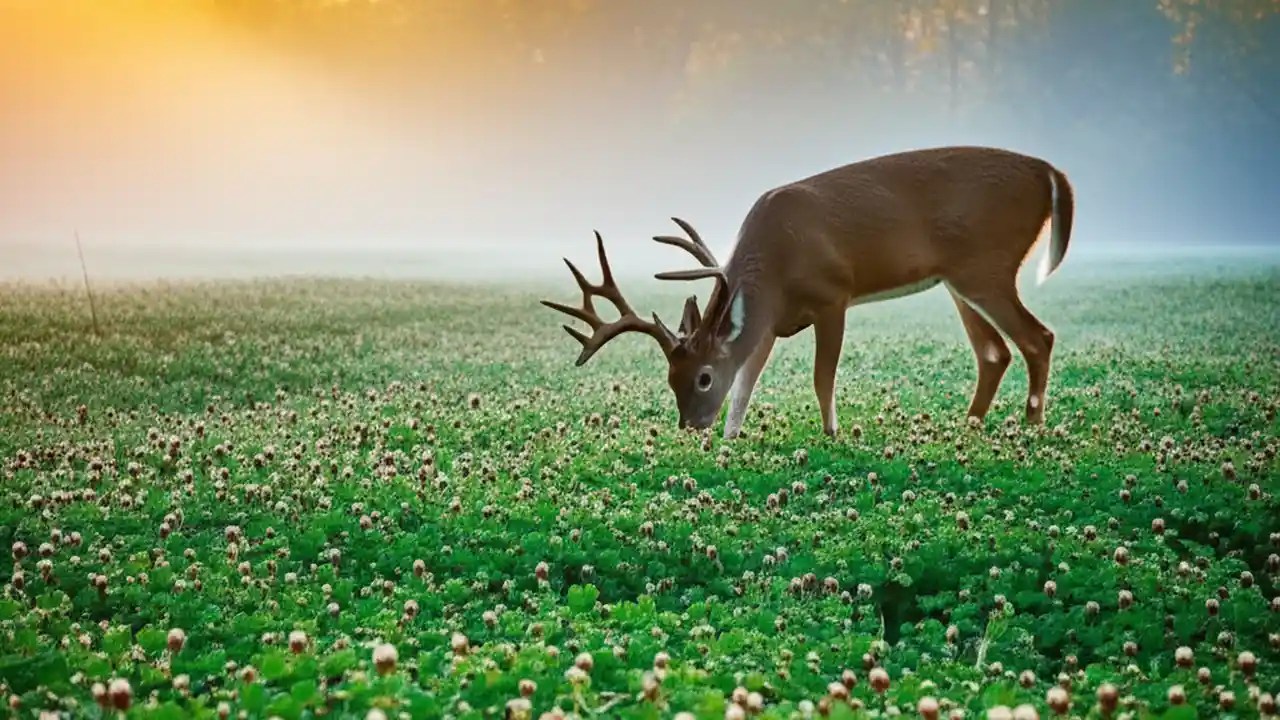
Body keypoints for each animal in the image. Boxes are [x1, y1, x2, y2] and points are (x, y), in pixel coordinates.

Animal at [541, 145, 1074, 439]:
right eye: (672, 379)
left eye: (704, 378)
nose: (691, 426)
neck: (776, 265)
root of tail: (1052, 173)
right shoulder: (773, 320)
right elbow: (748, 380)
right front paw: (732, 438)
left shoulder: (833, 293)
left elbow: (822, 376)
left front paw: (832, 431)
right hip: (960, 278)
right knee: (993, 351)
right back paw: (969, 426)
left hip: (986, 265)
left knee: (1037, 338)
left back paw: (1031, 426)